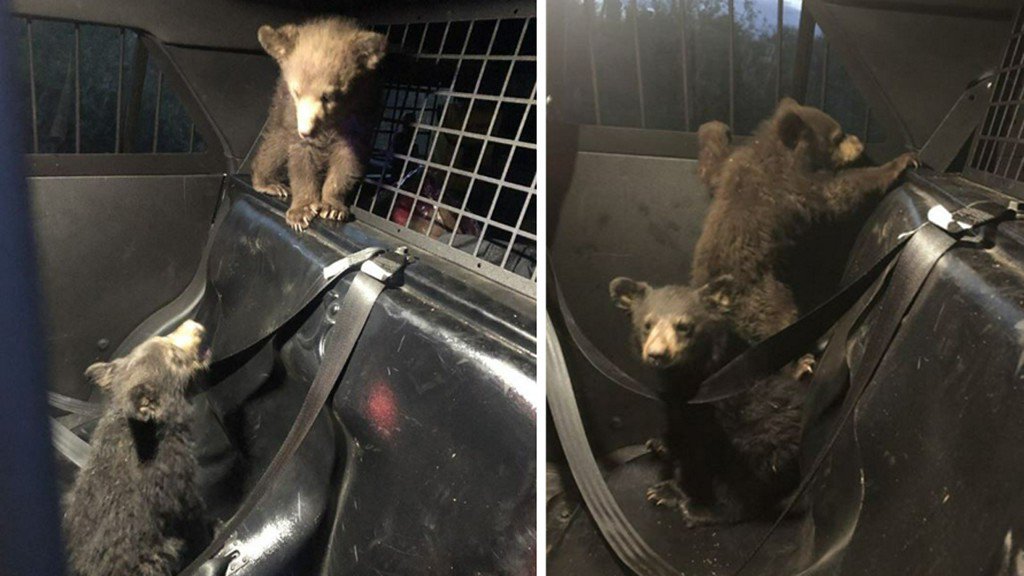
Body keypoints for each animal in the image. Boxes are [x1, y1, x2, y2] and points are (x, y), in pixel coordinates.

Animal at [251, 18, 386, 231]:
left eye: (327, 96)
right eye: (297, 92)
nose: (305, 131)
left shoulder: (360, 116)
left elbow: (347, 160)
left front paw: (332, 205)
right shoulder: (294, 116)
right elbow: (301, 161)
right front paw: (301, 211)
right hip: (282, 109)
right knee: (276, 143)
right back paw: (267, 182)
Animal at [610, 276, 815, 526]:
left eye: (684, 326)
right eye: (647, 324)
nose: (657, 354)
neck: (689, 376)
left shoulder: (718, 409)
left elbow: (697, 454)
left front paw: (669, 491)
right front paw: (662, 443)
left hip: (765, 442)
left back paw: (700, 509)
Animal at [692, 98, 917, 343]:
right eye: (837, 137)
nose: (859, 142)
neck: (781, 153)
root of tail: (717, 301)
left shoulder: (731, 168)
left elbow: (712, 166)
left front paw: (713, 127)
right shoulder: (793, 184)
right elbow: (839, 190)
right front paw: (900, 162)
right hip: (760, 293)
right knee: (777, 318)